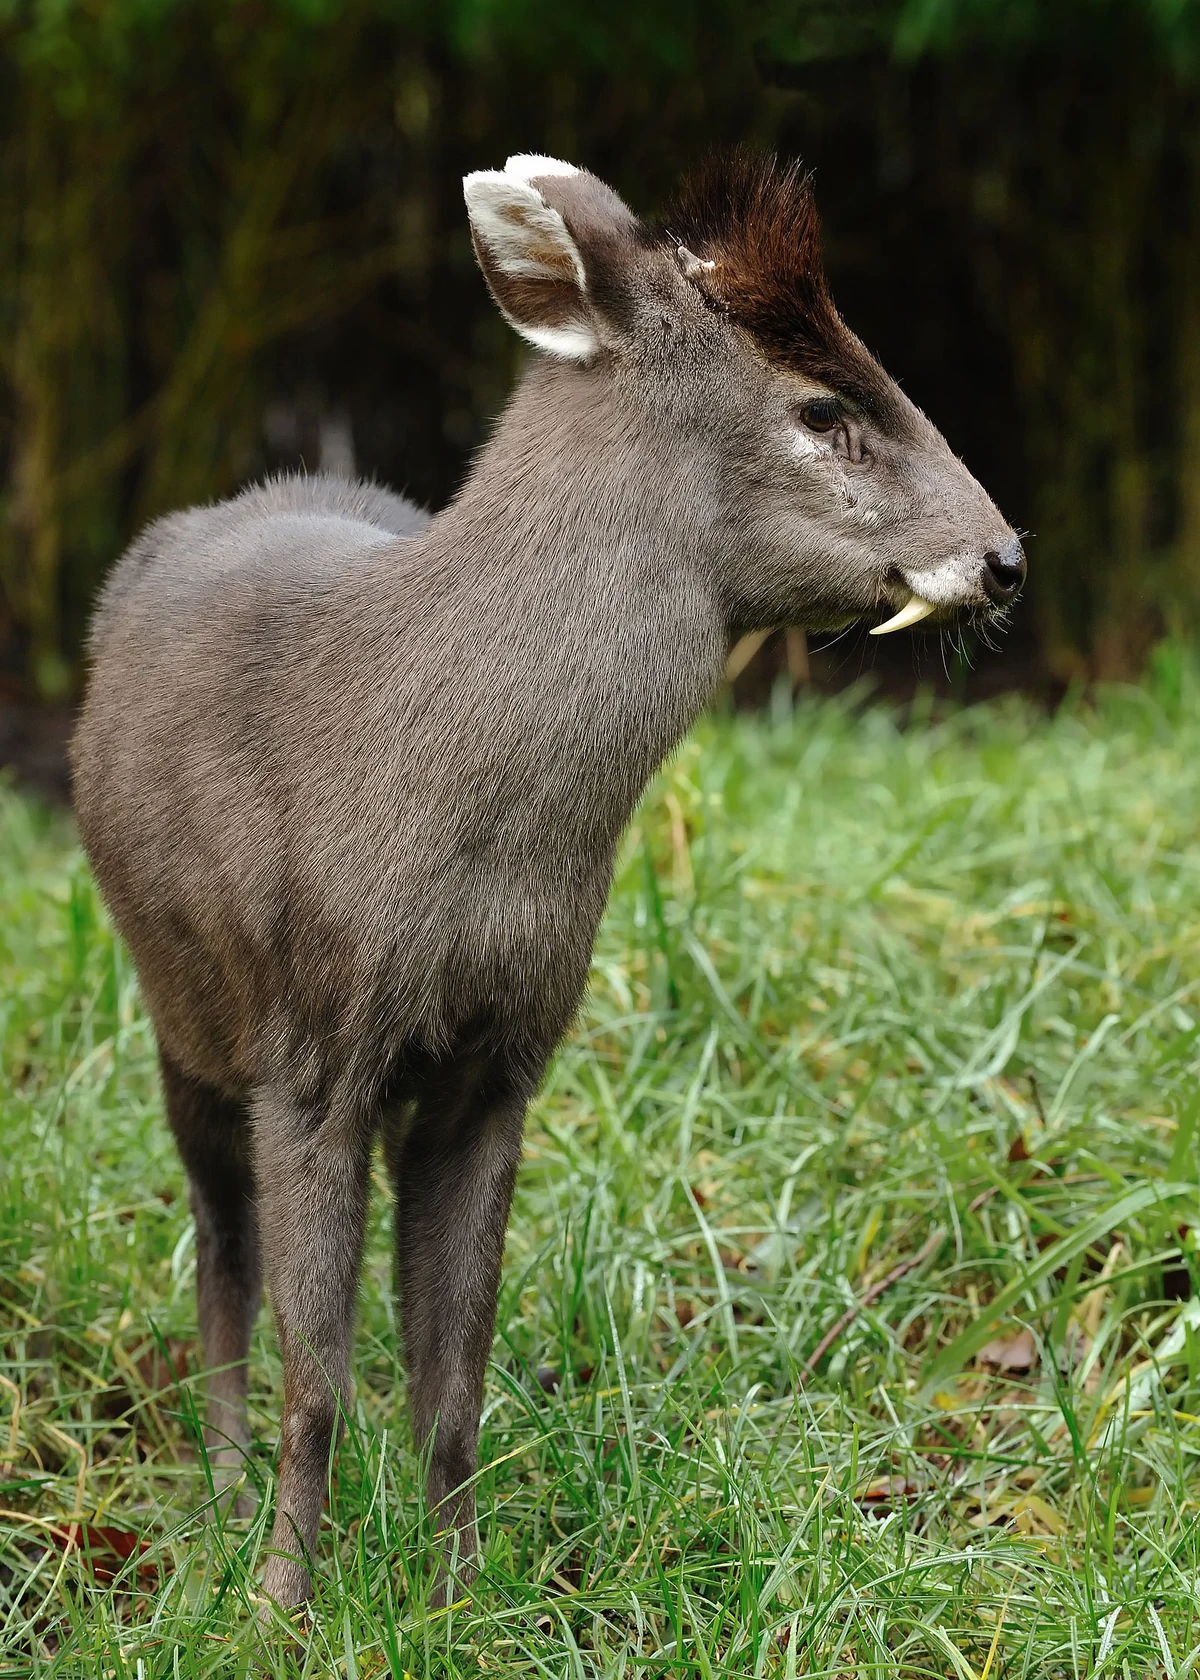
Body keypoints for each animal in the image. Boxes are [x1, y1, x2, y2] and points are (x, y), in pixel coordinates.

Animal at [70, 151, 1025, 1608]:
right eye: (822, 407)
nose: (1006, 556)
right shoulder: (309, 1043)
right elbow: (317, 1377)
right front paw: (282, 1605)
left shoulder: (504, 1059)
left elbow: (452, 1379)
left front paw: (464, 1597)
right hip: (181, 1003)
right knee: (218, 1241)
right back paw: (221, 1499)